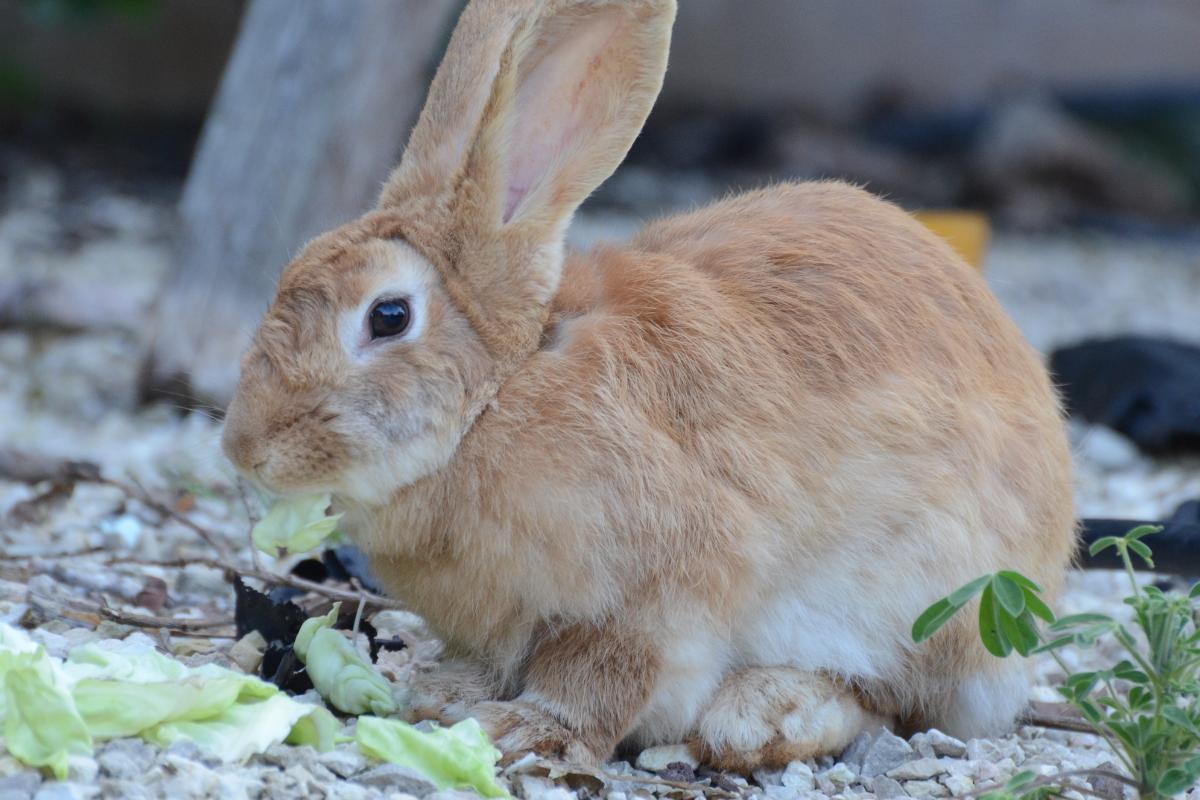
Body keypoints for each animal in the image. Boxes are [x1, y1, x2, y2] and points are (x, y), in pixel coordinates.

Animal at [221, 0, 1075, 770]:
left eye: (389, 315)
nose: (243, 447)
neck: (502, 393)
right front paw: (446, 695)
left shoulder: (655, 596)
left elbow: (601, 674)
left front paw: (526, 731)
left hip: (931, 605)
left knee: (890, 701)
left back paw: (764, 718)